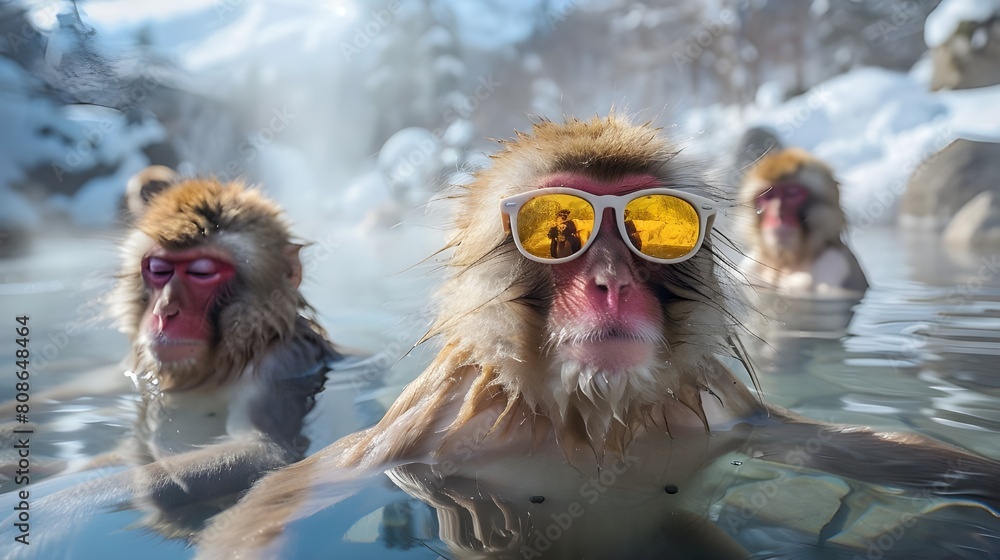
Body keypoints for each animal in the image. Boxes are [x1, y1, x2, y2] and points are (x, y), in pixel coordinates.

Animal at [0, 168, 347, 555]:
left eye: (201, 272)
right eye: (159, 269)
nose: (164, 311)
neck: (221, 362)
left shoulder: (279, 364)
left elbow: (262, 451)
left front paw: (55, 506)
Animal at [739, 148, 868, 295]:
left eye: (791, 193)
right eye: (768, 196)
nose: (778, 215)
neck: (787, 262)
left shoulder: (834, 264)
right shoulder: (748, 265)